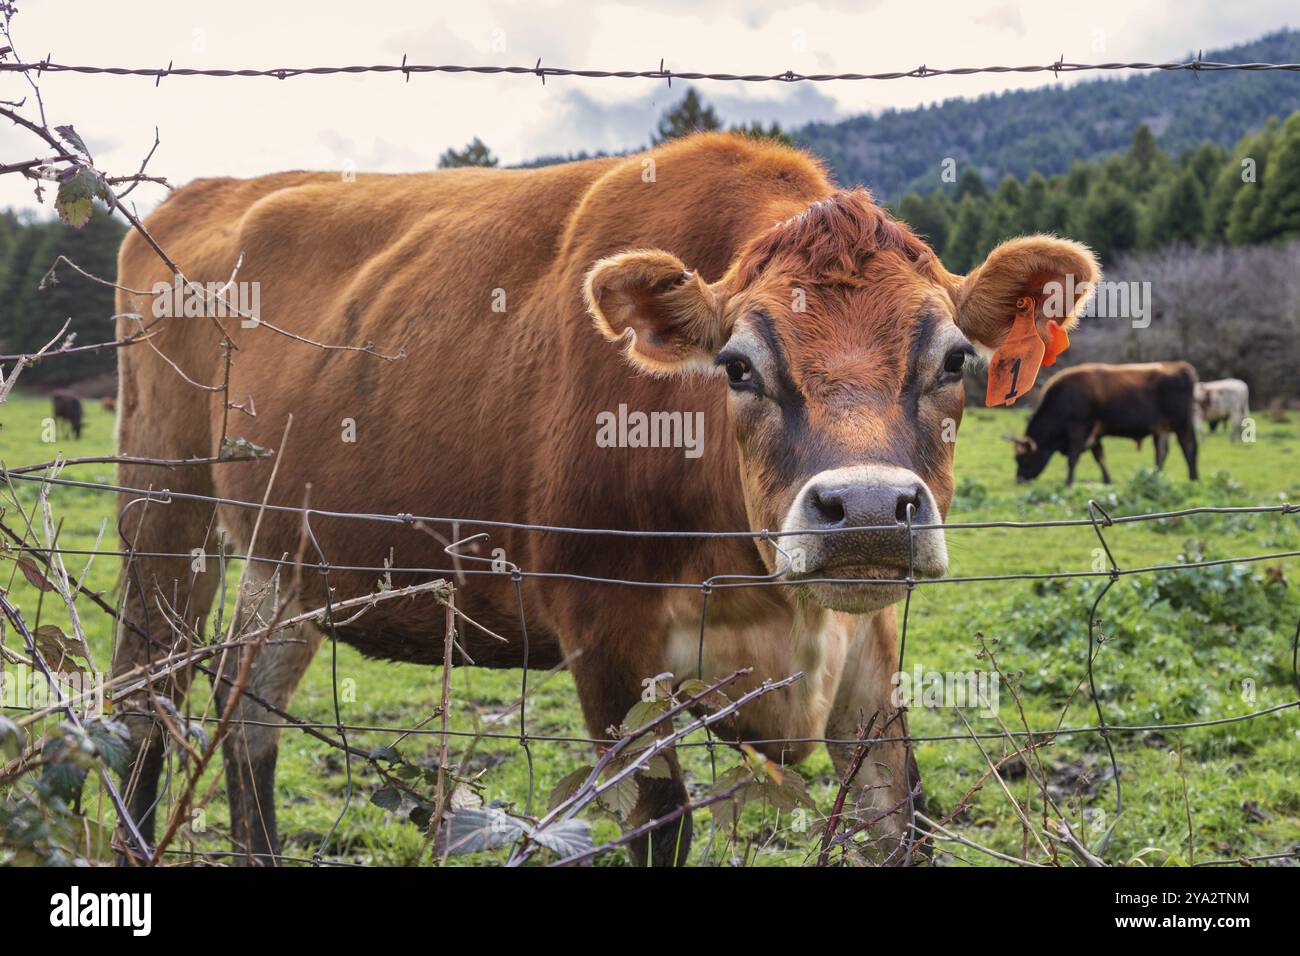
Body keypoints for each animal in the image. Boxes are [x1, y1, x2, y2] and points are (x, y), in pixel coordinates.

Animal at [111, 132, 1099, 866]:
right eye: (737, 365)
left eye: (955, 360)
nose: (862, 509)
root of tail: (208, 191)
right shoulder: (606, 637)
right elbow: (662, 826)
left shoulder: (870, 645)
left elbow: (899, 819)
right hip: (164, 508)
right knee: (142, 700)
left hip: (286, 558)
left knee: (246, 716)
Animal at [1009, 362, 1198, 485]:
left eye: (1022, 458)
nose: (1019, 480)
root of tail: (1181, 367)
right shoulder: (1094, 434)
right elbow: (1099, 457)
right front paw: (1107, 479)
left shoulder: (1079, 428)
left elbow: (1073, 458)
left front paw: (1069, 481)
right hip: (1162, 429)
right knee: (1162, 453)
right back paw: (1157, 476)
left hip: (1181, 425)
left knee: (1187, 447)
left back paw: (1192, 478)